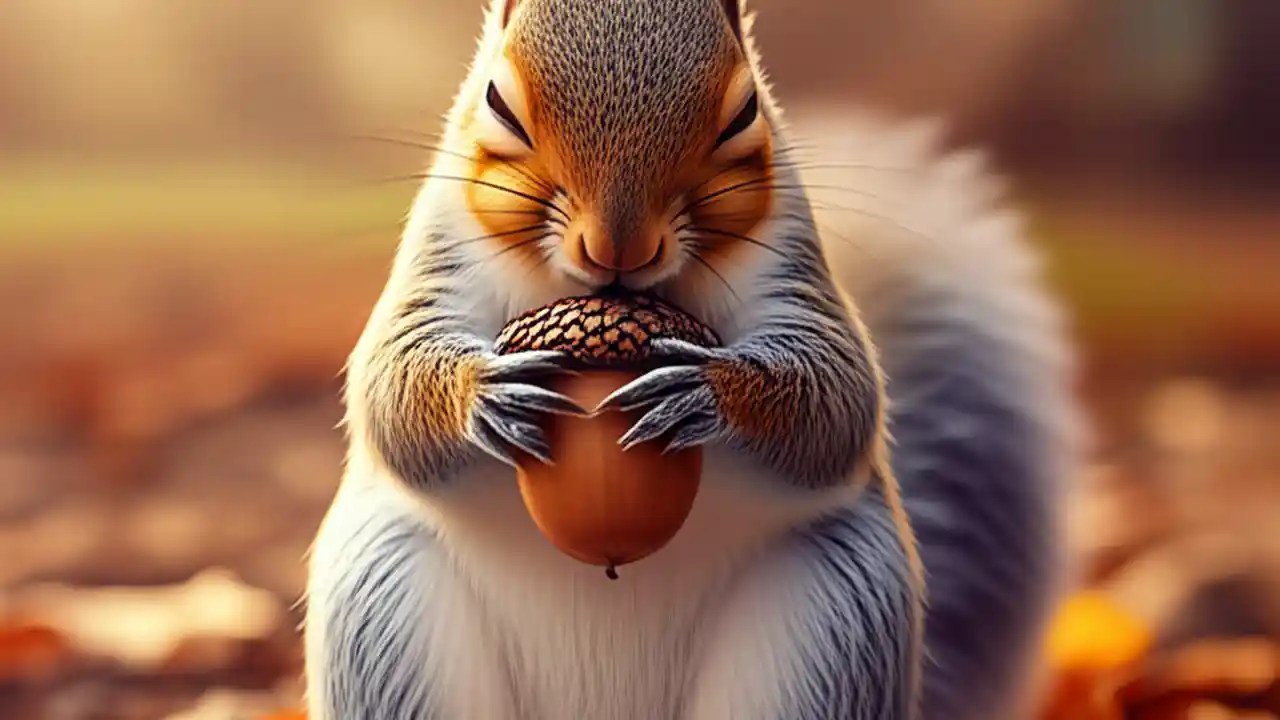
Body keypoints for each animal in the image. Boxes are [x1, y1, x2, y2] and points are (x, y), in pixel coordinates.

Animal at [305, 1, 1080, 719]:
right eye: (498, 103)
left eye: (744, 113)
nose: (617, 249)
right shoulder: (435, 263)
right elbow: (390, 381)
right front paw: (488, 396)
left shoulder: (795, 273)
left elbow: (839, 395)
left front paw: (705, 392)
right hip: (388, 619)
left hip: (830, 624)